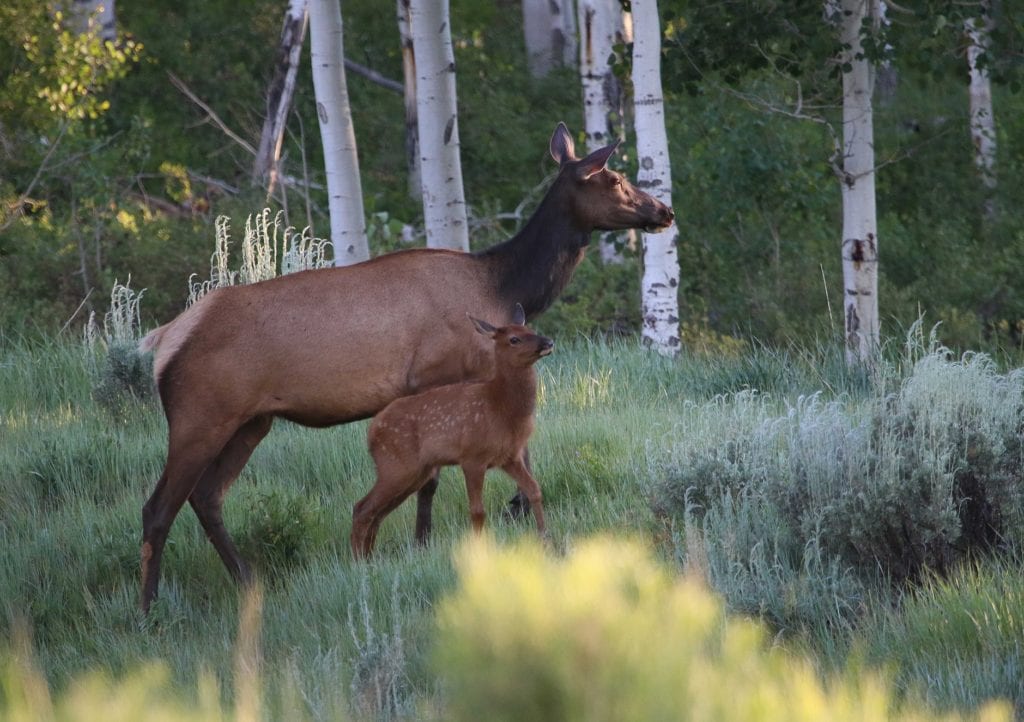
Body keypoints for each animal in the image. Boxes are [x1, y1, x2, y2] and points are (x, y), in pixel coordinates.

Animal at [352, 306, 551, 557]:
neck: (500, 406)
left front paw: (545, 538)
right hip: (396, 465)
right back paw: (358, 560)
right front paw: (479, 551)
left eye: (530, 330)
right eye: (514, 339)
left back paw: (368, 557)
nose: (548, 341)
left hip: (416, 471)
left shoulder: (509, 457)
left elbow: (534, 490)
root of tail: (371, 432)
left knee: (376, 512)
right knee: (362, 508)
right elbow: (477, 510)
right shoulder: (472, 457)